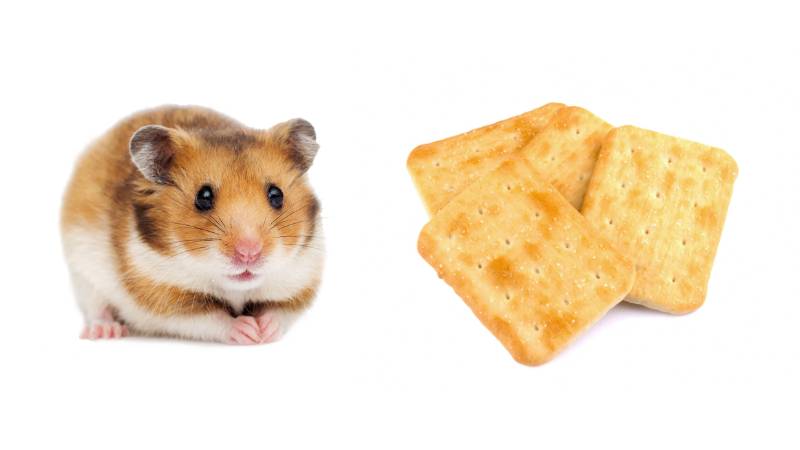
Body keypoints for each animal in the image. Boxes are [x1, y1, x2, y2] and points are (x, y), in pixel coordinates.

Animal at [61, 106, 324, 344]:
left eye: (276, 195)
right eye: (203, 197)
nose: (249, 253)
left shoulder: (300, 281)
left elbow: (280, 312)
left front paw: (264, 331)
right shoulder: (162, 297)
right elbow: (211, 318)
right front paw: (247, 330)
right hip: (83, 272)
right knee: (96, 307)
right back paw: (106, 331)